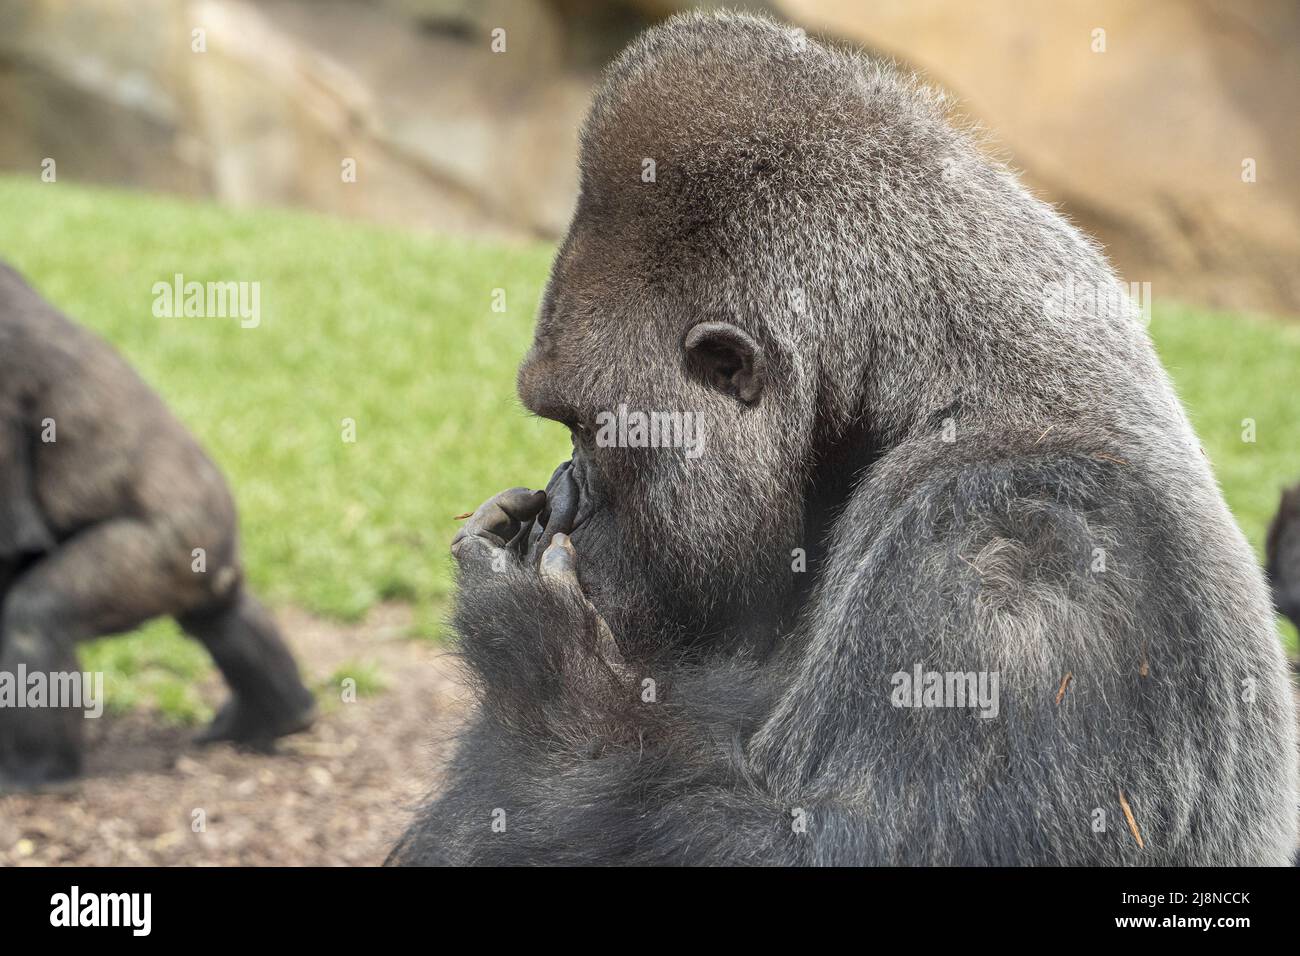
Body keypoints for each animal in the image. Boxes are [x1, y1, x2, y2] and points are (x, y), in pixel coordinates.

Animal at [0, 261, 316, 791]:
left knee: (35, 619)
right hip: (204, 564)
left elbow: (14, 539)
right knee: (220, 618)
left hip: (161, 551)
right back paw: (277, 715)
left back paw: (35, 773)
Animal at [389, 12, 1298, 865]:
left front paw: (532, 657)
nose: (565, 491)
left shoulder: (1021, 555)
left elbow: (834, 840)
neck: (926, 382)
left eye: (585, 426)